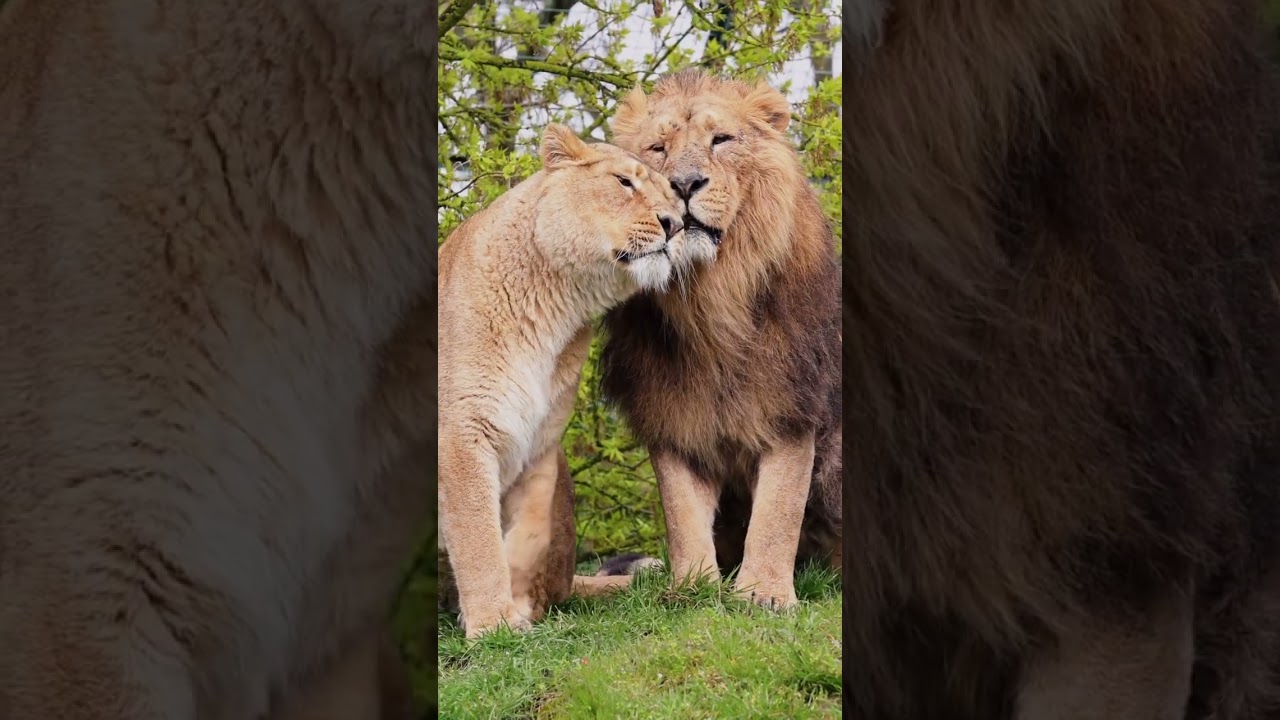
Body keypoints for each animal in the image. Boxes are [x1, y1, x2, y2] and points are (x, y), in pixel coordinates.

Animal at [437, 123, 687, 639]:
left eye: (672, 194)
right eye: (623, 182)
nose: (675, 224)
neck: (555, 304)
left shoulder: (540, 437)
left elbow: (531, 530)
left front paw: (514, 603)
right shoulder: (462, 434)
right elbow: (475, 532)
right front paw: (492, 623)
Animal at [598, 69, 842, 611]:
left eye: (722, 140)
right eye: (657, 148)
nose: (684, 184)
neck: (713, 299)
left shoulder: (790, 405)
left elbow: (779, 510)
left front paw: (765, 595)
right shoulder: (672, 412)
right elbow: (681, 514)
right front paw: (690, 589)